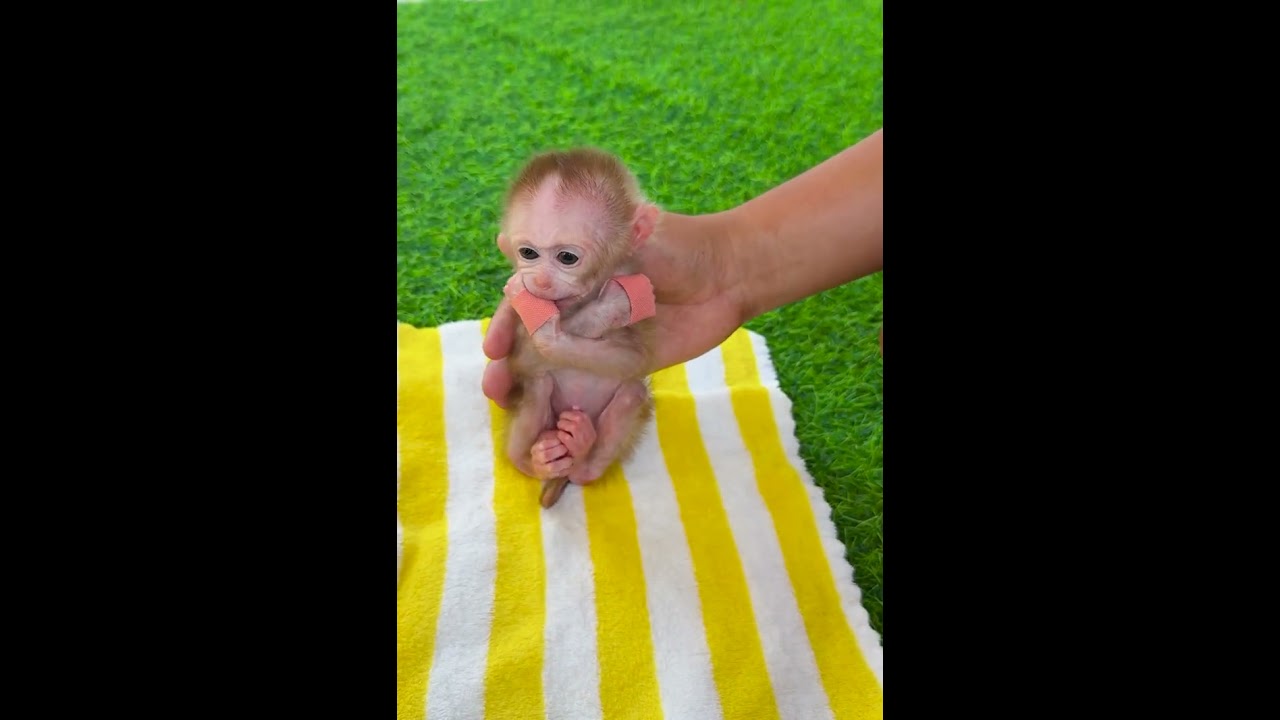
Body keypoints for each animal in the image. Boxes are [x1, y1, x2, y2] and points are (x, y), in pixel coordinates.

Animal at [492, 147, 660, 508]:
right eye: (528, 253)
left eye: (567, 258)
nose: (541, 280)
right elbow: (521, 357)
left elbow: (634, 358)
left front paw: (614, 304)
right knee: (538, 387)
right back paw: (538, 459)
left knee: (631, 394)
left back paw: (583, 451)